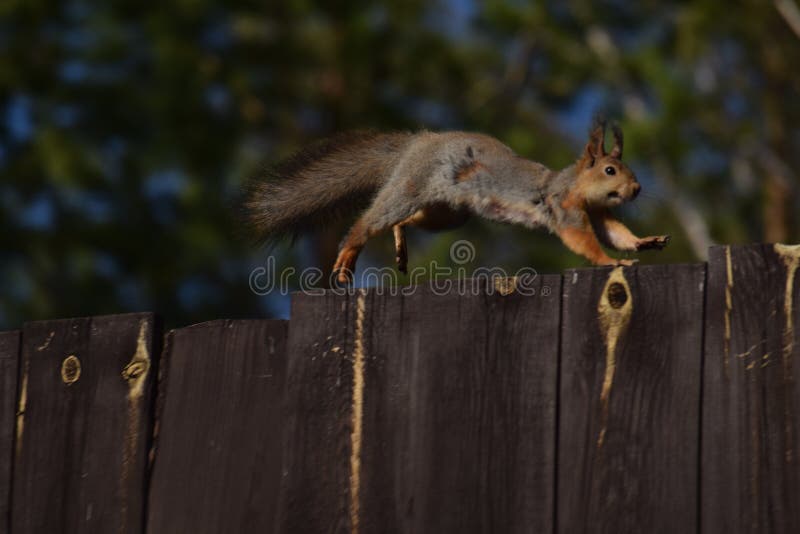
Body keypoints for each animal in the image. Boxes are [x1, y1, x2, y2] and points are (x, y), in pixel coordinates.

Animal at [245, 120, 670, 283]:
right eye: (611, 170)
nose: (636, 189)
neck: (575, 185)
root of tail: (418, 143)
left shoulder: (599, 214)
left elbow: (616, 232)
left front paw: (643, 242)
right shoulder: (564, 208)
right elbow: (584, 240)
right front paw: (610, 261)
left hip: (447, 214)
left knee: (407, 221)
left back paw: (399, 245)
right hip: (410, 189)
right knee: (371, 220)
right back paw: (348, 254)